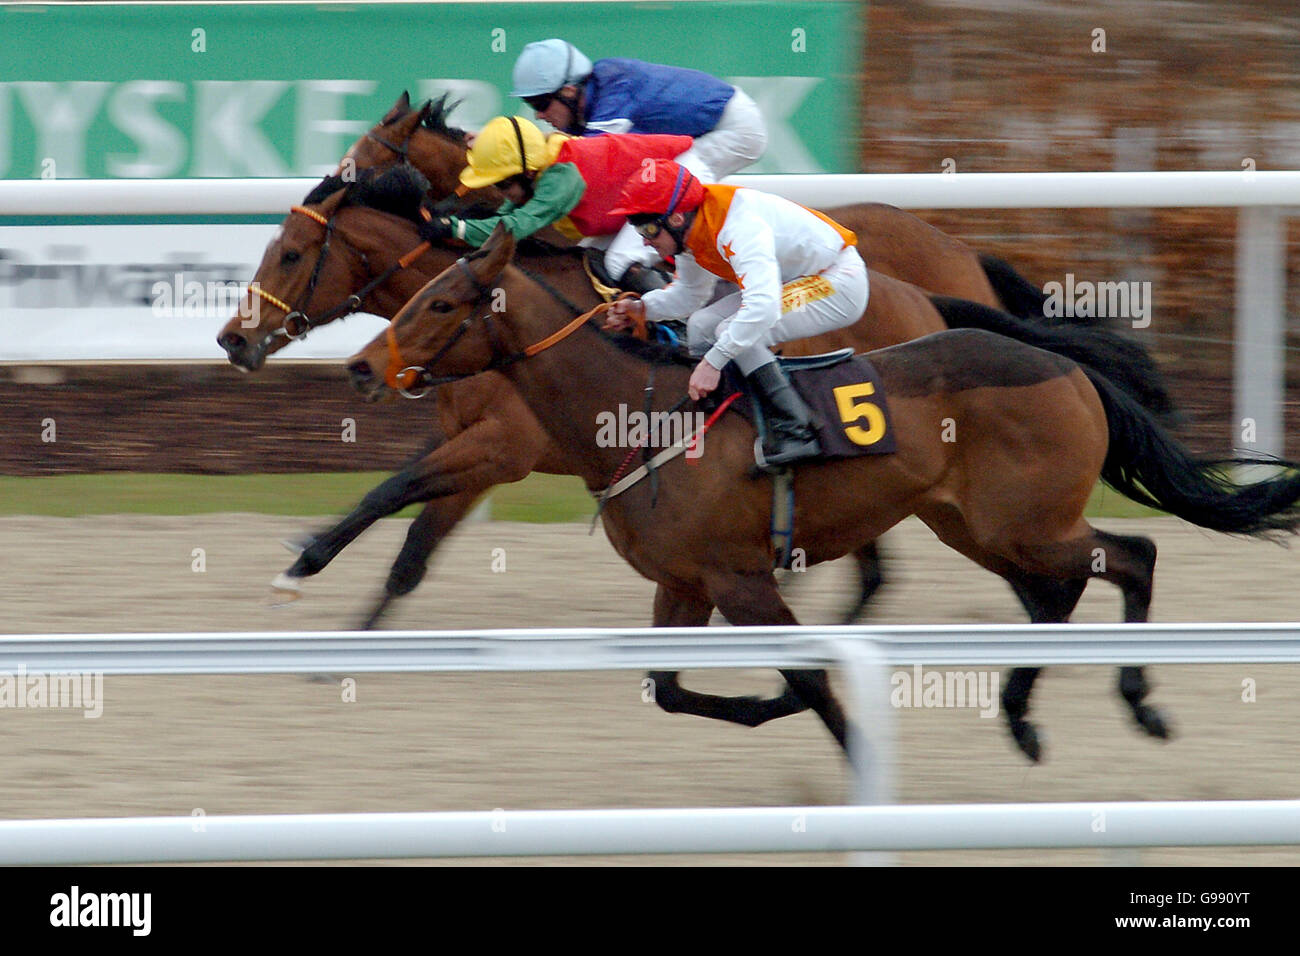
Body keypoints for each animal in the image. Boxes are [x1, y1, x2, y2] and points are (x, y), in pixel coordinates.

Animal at [345, 225, 1300, 757]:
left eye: (442, 305)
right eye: (419, 294)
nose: (360, 366)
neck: (639, 411)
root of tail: (1065, 364)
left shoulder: (739, 580)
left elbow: (812, 684)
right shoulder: (683, 581)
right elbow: (673, 687)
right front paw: (761, 704)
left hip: (1024, 521)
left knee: (1133, 555)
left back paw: (1137, 702)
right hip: (973, 524)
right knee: (1059, 593)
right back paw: (1022, 714)